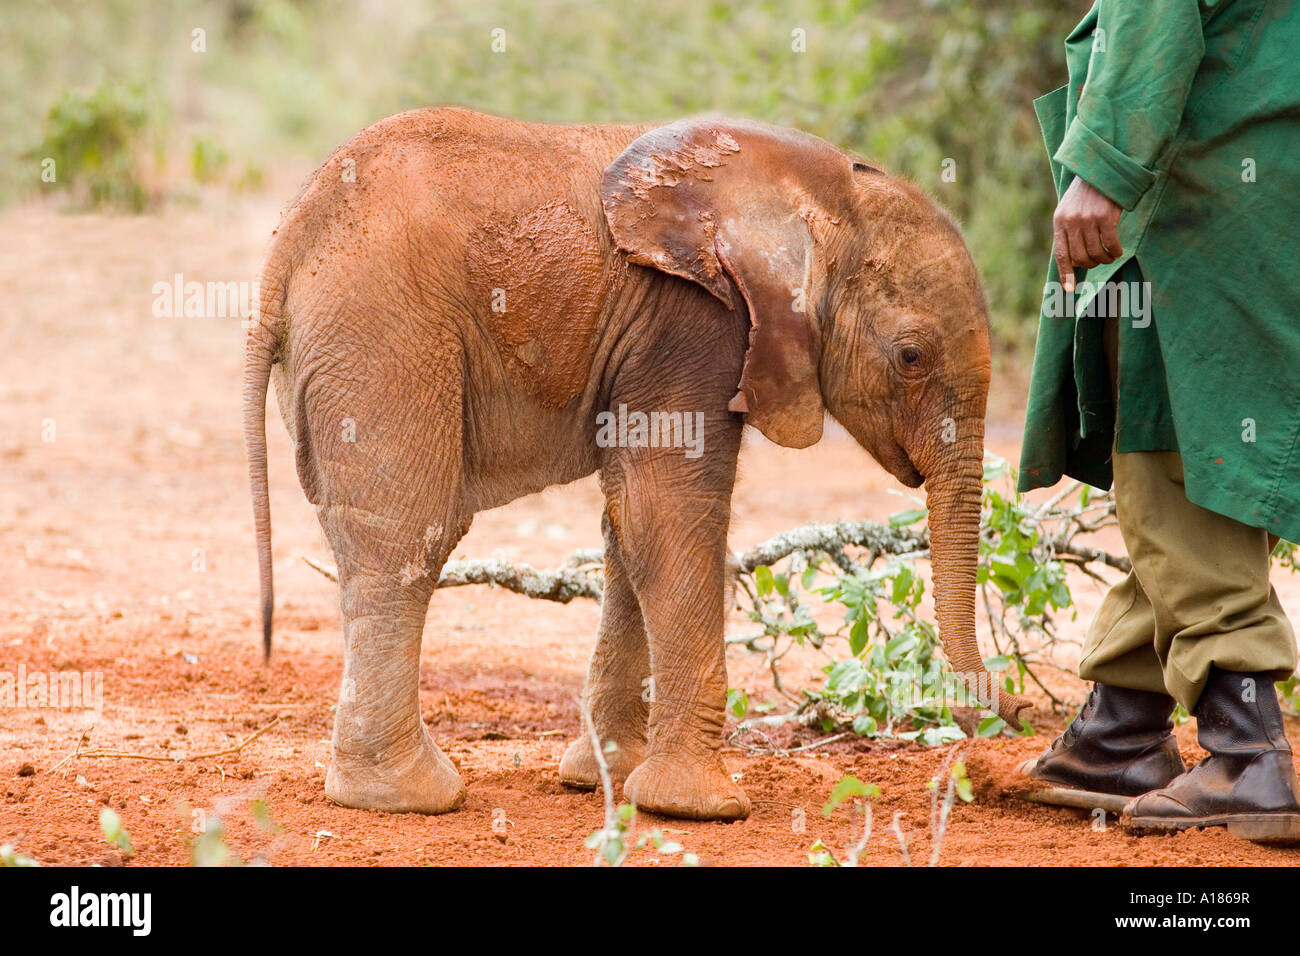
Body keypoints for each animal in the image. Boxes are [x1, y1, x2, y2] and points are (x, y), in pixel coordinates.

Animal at [243, 106, 1030, 822]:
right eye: (911, 357)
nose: (1015, 717)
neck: (816, 189)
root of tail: (289, 239)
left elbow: (629, 524)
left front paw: (606, 778)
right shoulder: (694, 322)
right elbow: (670, 517)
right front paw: (701, 808)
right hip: (383, 333)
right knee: (410, 537)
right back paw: (408, 798)